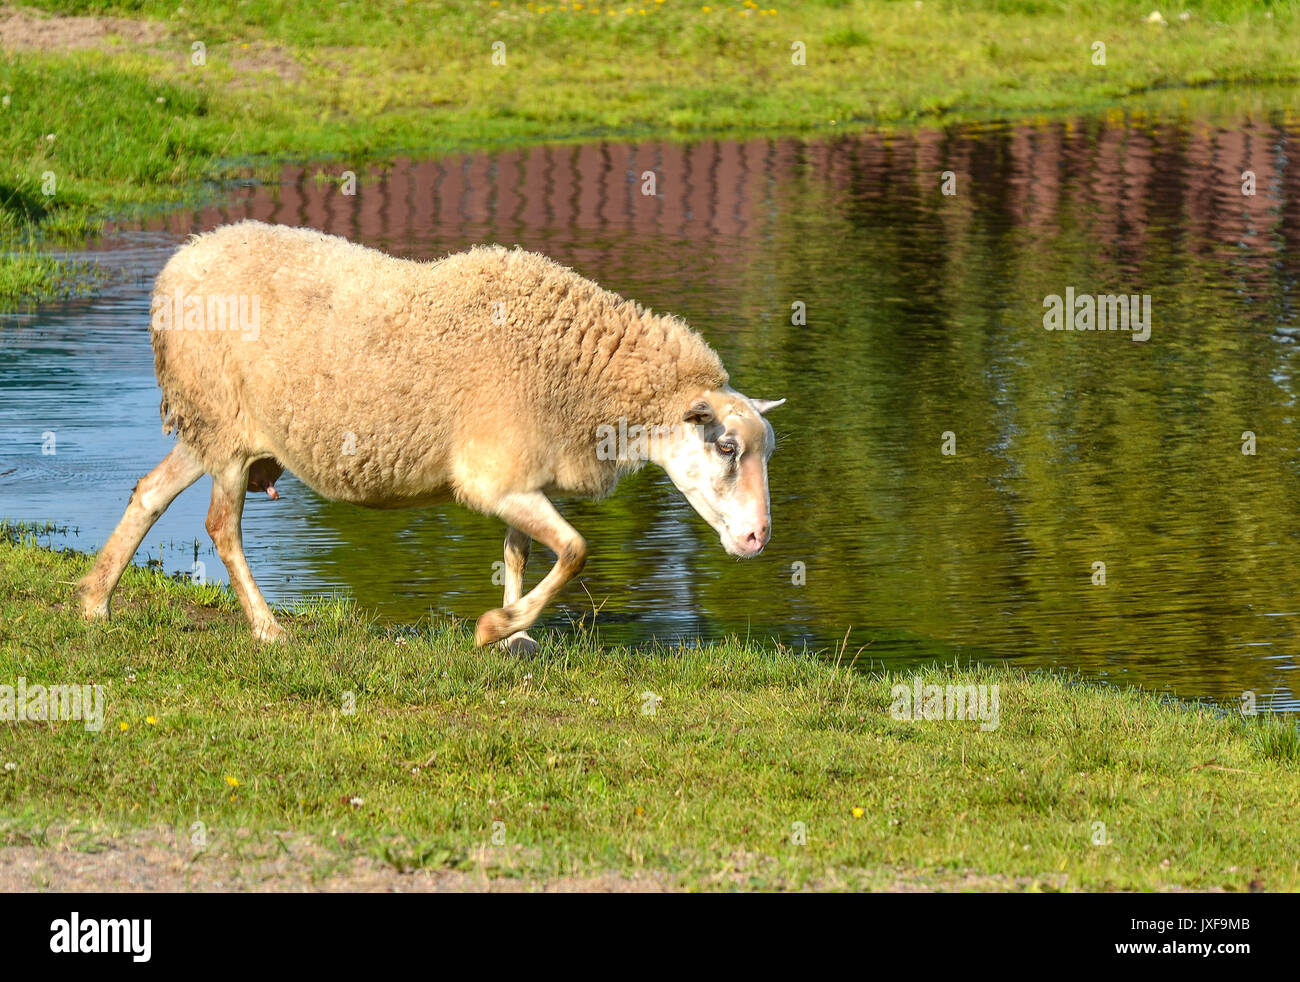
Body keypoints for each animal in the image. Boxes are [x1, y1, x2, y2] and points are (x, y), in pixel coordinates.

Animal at [77, 220, 785, 649]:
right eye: (726, 448)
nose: (758, 538)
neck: (585, 380)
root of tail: (176, 265)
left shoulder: (518, 475)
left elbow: (520, 552)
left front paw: (515, 636)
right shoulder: (493, 476)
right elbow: (576, 550)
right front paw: (494, 627)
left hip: (211, 427)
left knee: (148, 492)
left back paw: (94, 602)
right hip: (222, 430)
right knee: (221, 527)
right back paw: (268, 628)